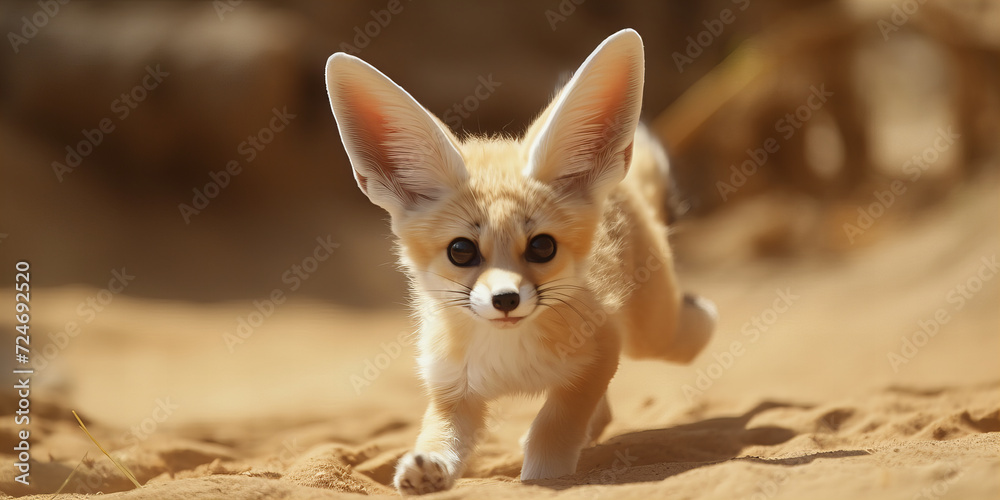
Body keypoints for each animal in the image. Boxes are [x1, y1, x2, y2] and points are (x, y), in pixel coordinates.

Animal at [324, 29, 717, 495]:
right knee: (605, 411)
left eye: (541, 247)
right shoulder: (453, 390)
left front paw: (543, 475)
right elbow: (439, 437)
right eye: (461, 251)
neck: (507, 359)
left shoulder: (597, 357)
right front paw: (428, 469)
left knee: (698, 324)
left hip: (655, 336)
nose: (506, 300)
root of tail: (621, 187)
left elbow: (552, 429)